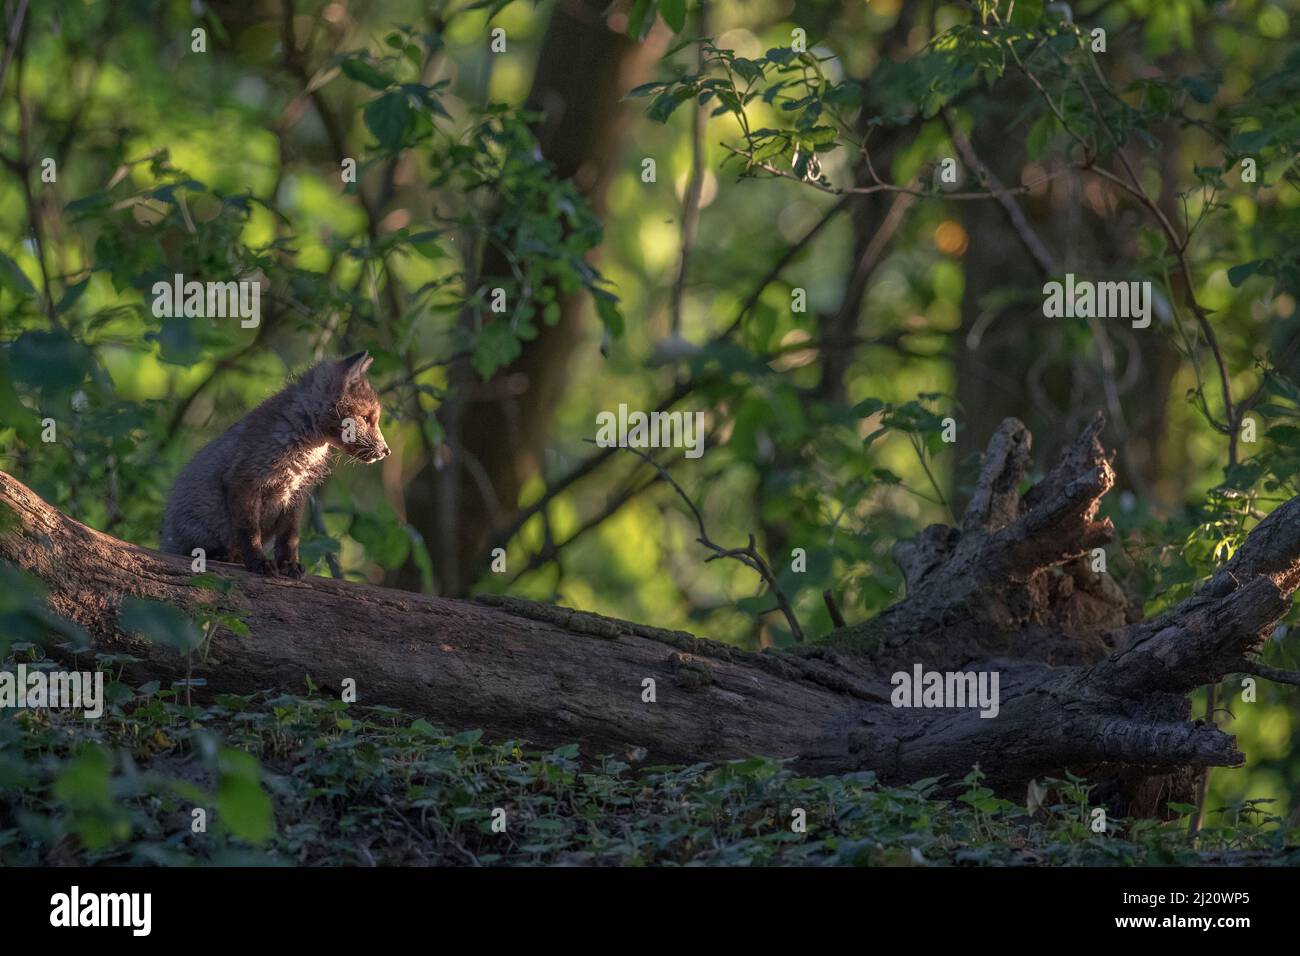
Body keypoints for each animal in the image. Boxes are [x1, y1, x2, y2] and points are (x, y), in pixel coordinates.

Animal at [160, 351, 389, 578]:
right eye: (366, 418)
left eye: (373, 419)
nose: (386, 451)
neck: (302, 452)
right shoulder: (245, 481)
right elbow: (250, 533)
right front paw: (259, 562)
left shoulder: (296, 494)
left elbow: (290, 538)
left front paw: (289, 565)